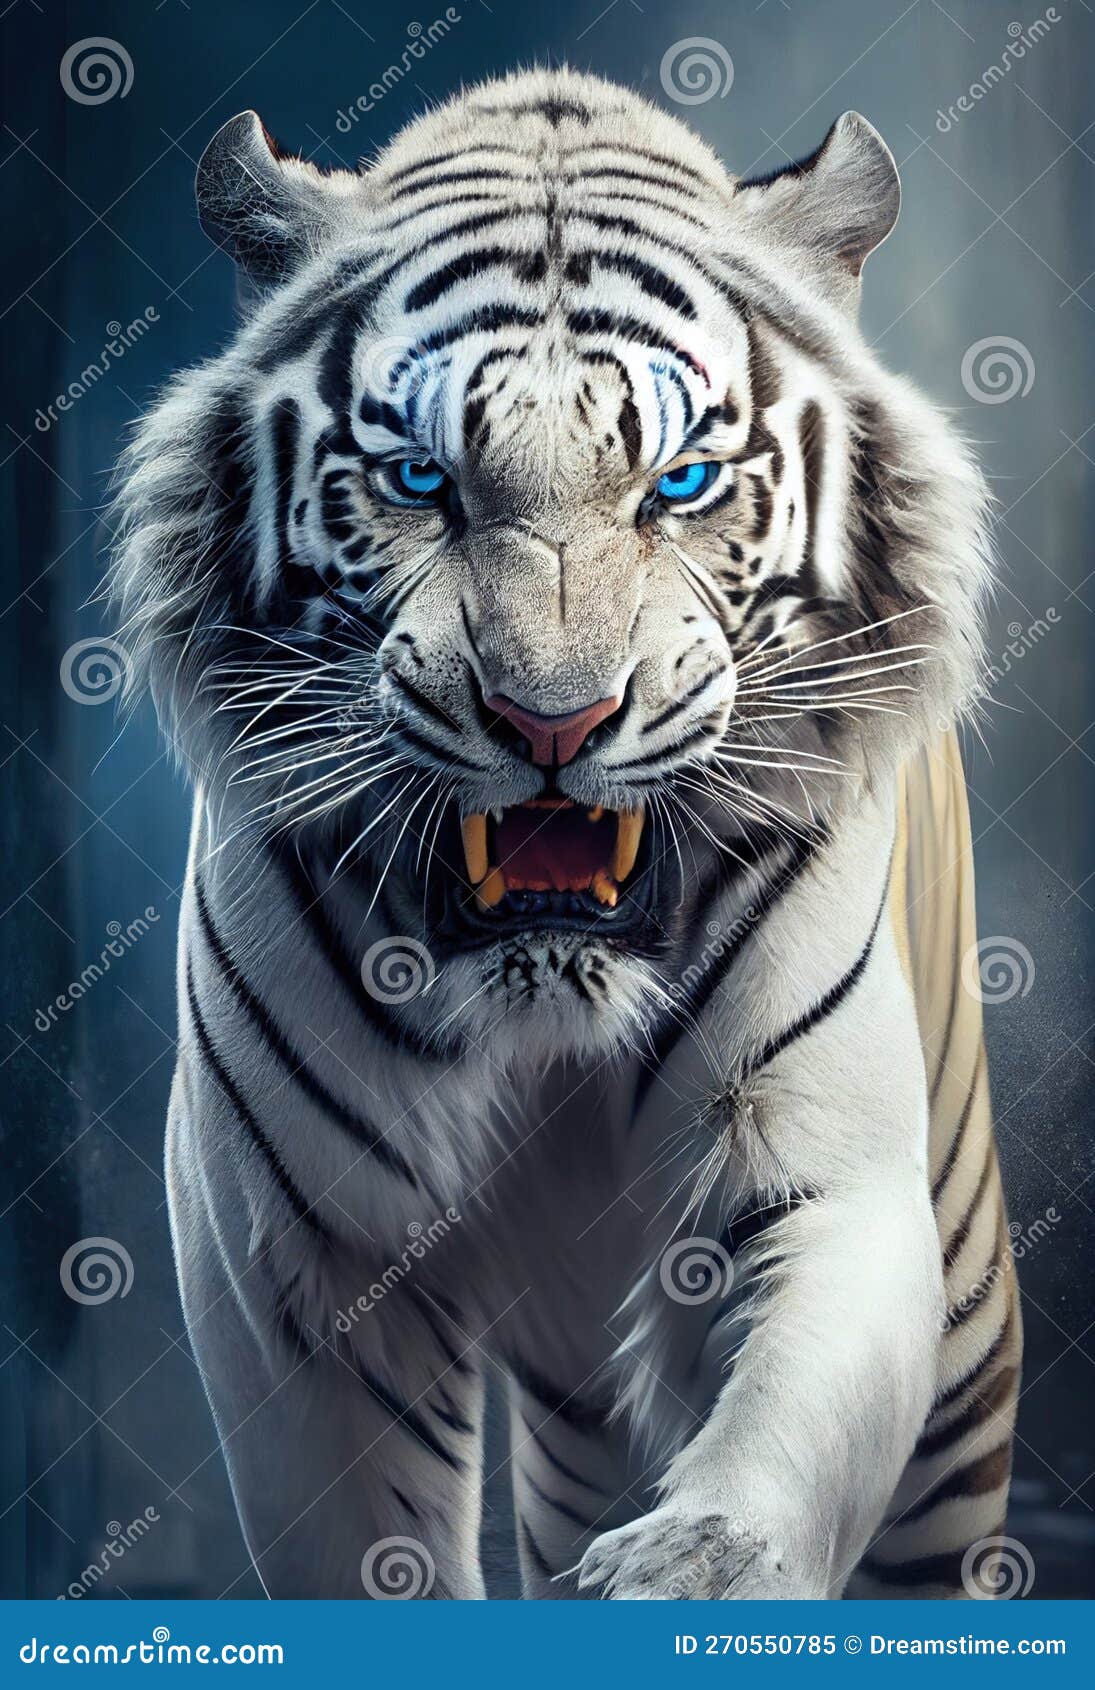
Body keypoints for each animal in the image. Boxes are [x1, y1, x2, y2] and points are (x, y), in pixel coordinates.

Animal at [110, 68, 1021, 1600]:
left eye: (680, 484)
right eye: (420, 481)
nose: (553, 718)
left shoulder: (832, 1183)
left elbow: (772, 1445)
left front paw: (692, 1572)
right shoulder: (289, 1257)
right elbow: (369, 1556)